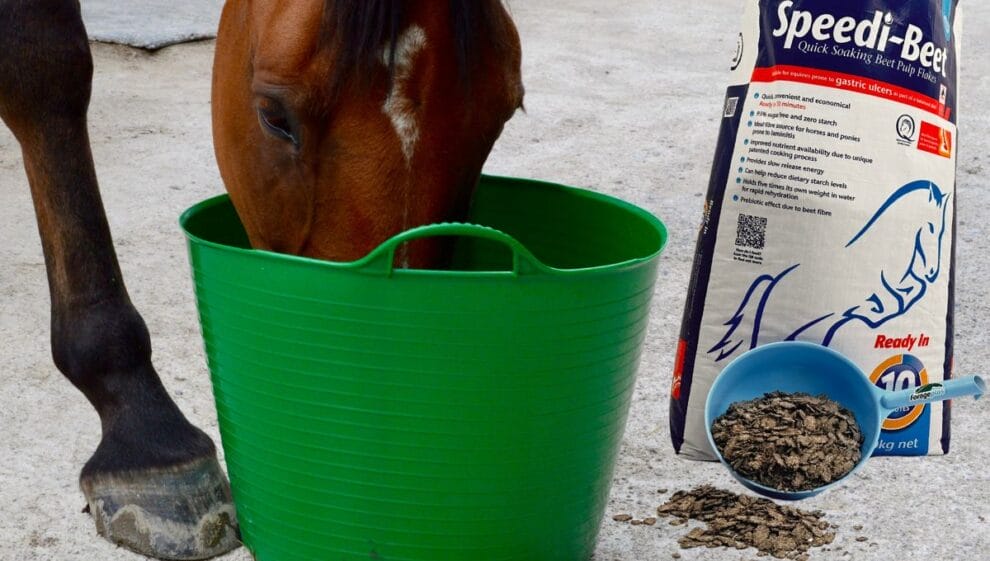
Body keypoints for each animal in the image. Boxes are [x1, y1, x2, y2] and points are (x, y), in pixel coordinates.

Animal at [708, 180, 952, 362]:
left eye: (942, 232)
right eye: (931, 228)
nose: (932, 272)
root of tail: (773, 281)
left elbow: (908, 293)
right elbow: (892, 301)